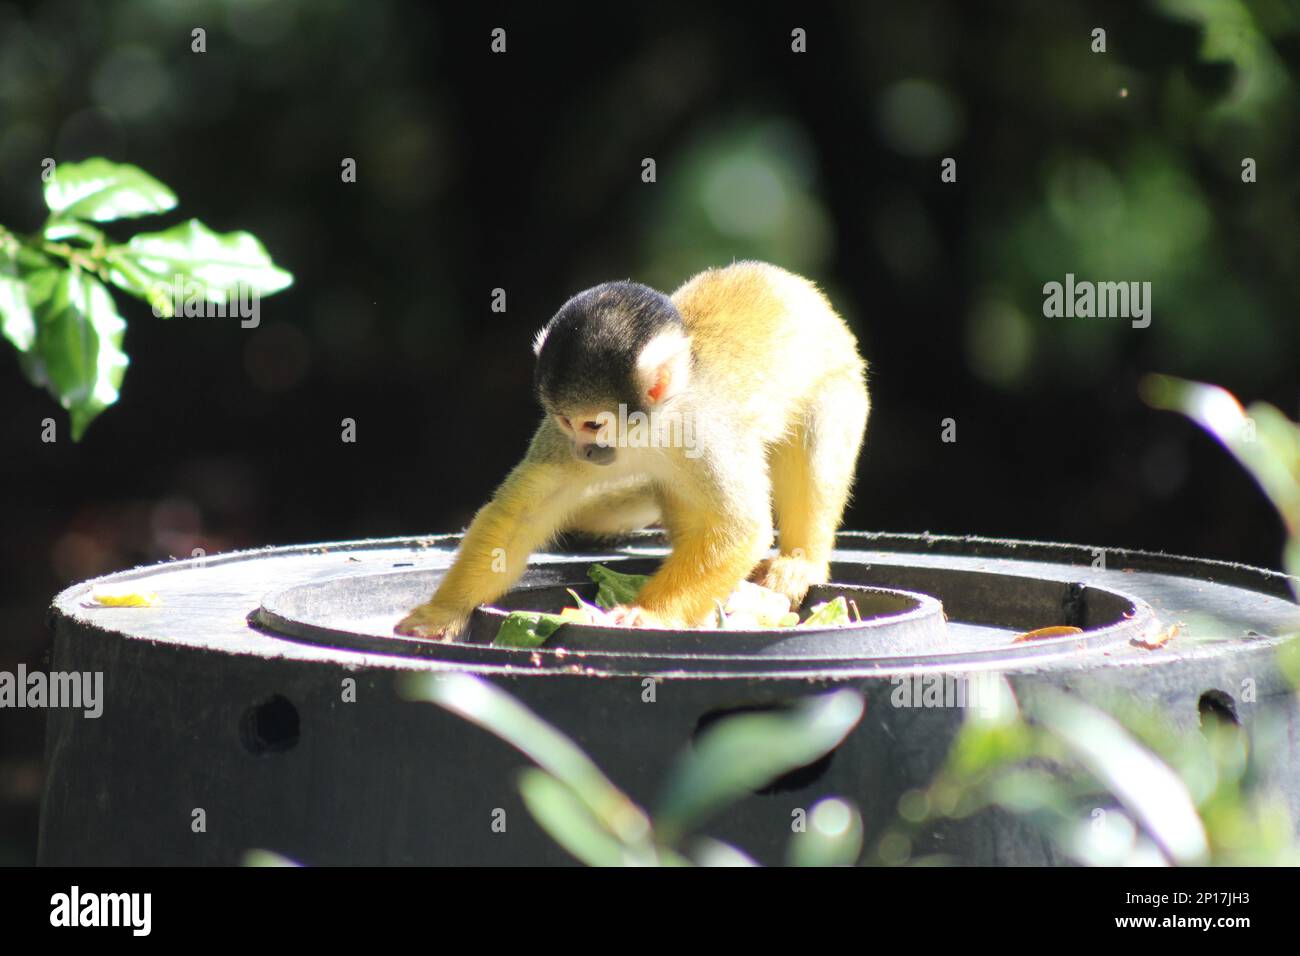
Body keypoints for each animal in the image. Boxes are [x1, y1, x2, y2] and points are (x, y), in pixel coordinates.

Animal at [395, 261, 869, 639]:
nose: (584, 452)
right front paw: (444, 610)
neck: (651, 427)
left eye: (594, 424)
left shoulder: (708, 432)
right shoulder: (557, 437)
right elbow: (523, 516)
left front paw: (649, 614)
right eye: (567, 421)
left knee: (814, 446)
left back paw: (800, 562)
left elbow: (740, 527)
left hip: (843, 387)